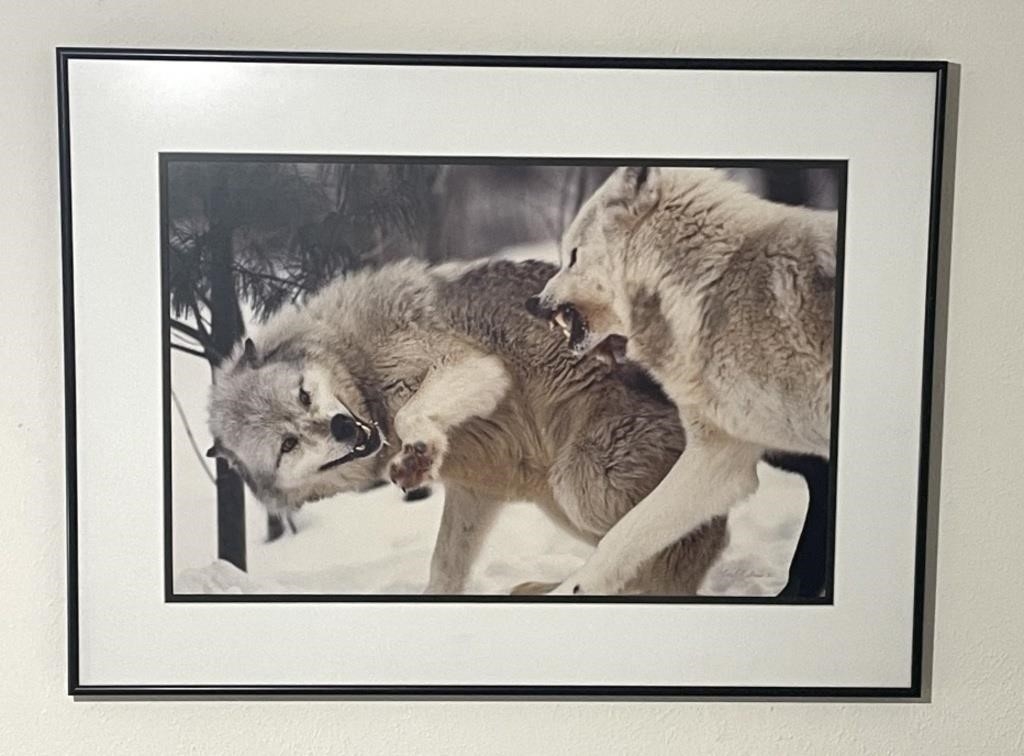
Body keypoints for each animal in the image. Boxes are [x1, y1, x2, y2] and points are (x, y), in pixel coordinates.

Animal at [206, 258, 729, 595]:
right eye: (287, 443)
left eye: (303, 394)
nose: (342, 429)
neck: (357, 362)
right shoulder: (475, 492)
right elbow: (443, 569)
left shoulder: (472, 367)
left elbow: (410, 413)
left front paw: (415, 455)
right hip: (558, 498)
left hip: (581, 481)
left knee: (687, 546)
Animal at [530, 167, 837, 595]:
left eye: (573, 255)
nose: (533, 303)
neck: (704, 288)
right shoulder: (724, 454)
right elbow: (632, 534)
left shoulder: (721, 451)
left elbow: (622, 533)